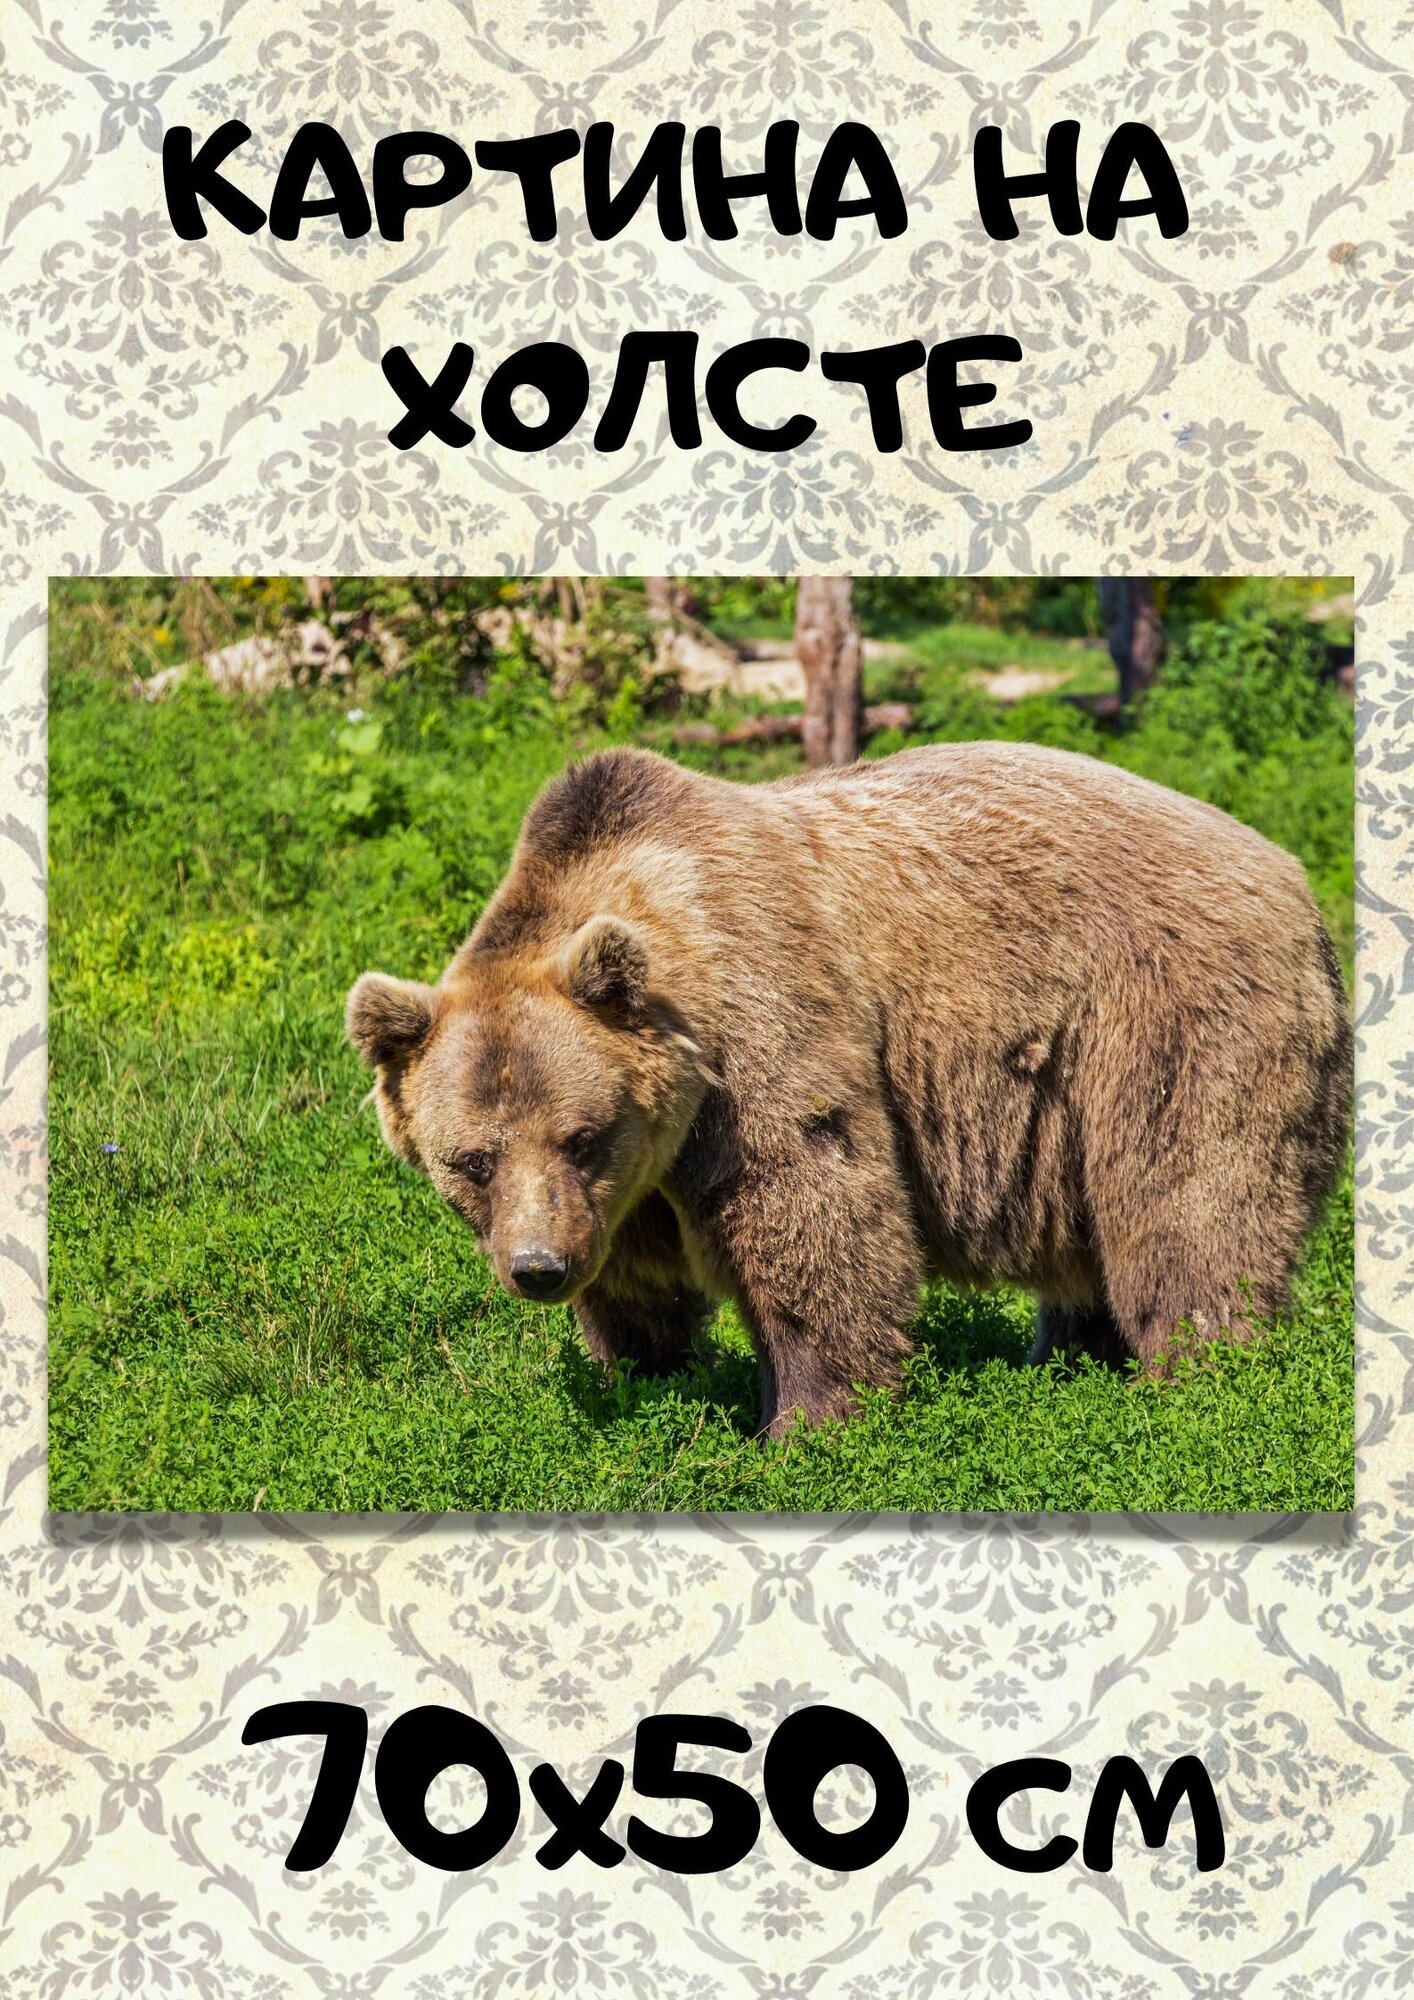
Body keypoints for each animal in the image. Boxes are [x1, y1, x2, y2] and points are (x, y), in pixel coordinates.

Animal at [346, 741, 1351, 1440]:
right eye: (471, 1160)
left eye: (580, 1134)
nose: (538, 1269)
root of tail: (1294, 875)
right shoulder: (628, 1185)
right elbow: (637, 1283)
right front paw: (647, 1375)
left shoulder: (759, 1034)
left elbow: (813, 1212)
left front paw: (804, 1423)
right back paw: (1068, 1360)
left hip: (1166, 1018)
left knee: (1189, 1203)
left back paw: (1200, 1374)